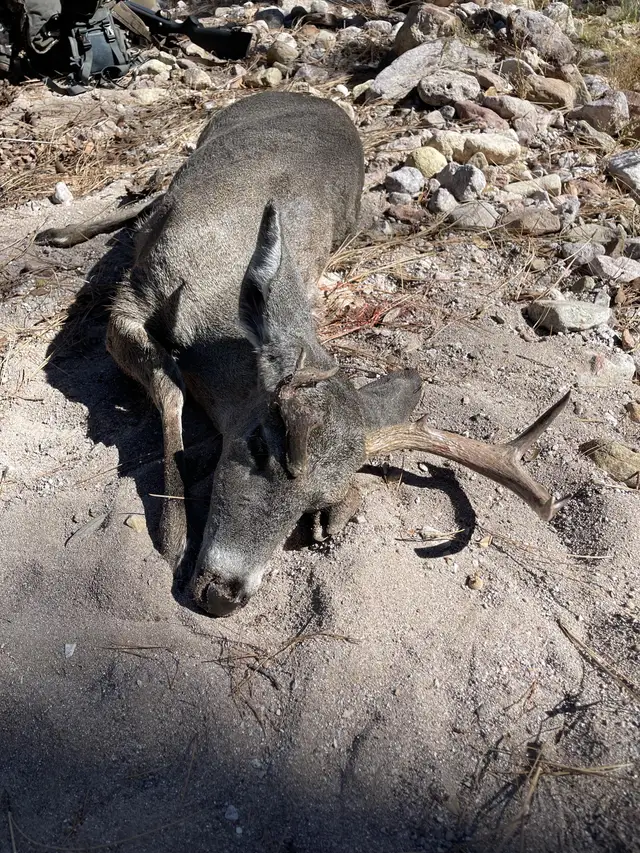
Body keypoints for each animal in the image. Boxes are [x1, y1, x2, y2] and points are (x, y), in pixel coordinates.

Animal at [36, 91, 570, 617]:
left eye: (313, 498)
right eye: (261, 444)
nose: (225, 595)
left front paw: (337, 512)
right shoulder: (131, 301)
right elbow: (171, 392)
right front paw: (174, 531)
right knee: (150, 200)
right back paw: (57, 233)